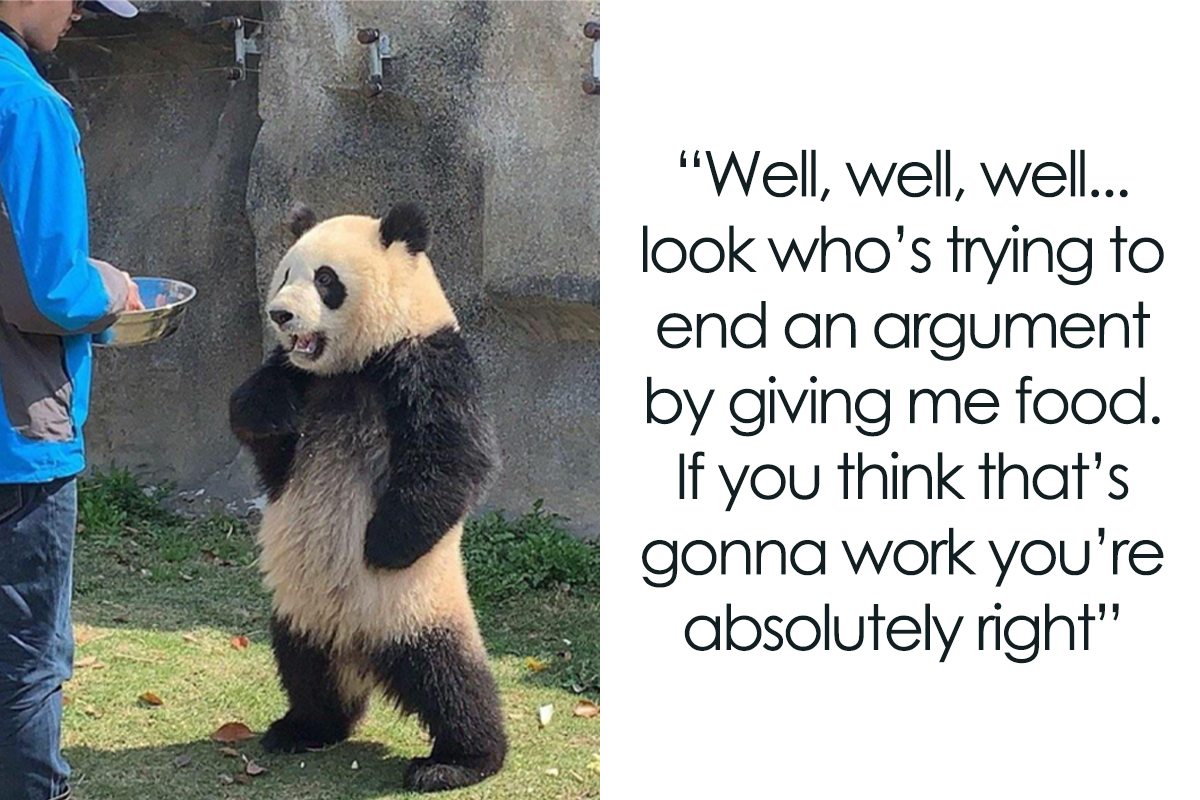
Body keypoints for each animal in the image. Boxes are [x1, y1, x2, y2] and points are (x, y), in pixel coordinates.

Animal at [228, 201, 506, 792]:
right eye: (285, 275)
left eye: (325, 280)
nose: (280, 316)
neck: (354, 365)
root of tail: (359, 647)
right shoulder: (302, 379)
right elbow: (264, 436)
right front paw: (271, 408)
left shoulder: (426, 359)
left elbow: (455, 458)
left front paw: (383, 544)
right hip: (299, 608)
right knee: (305, 667)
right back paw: (306, 727)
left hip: (416, 607)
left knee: (450, 678)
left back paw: (458, 761)